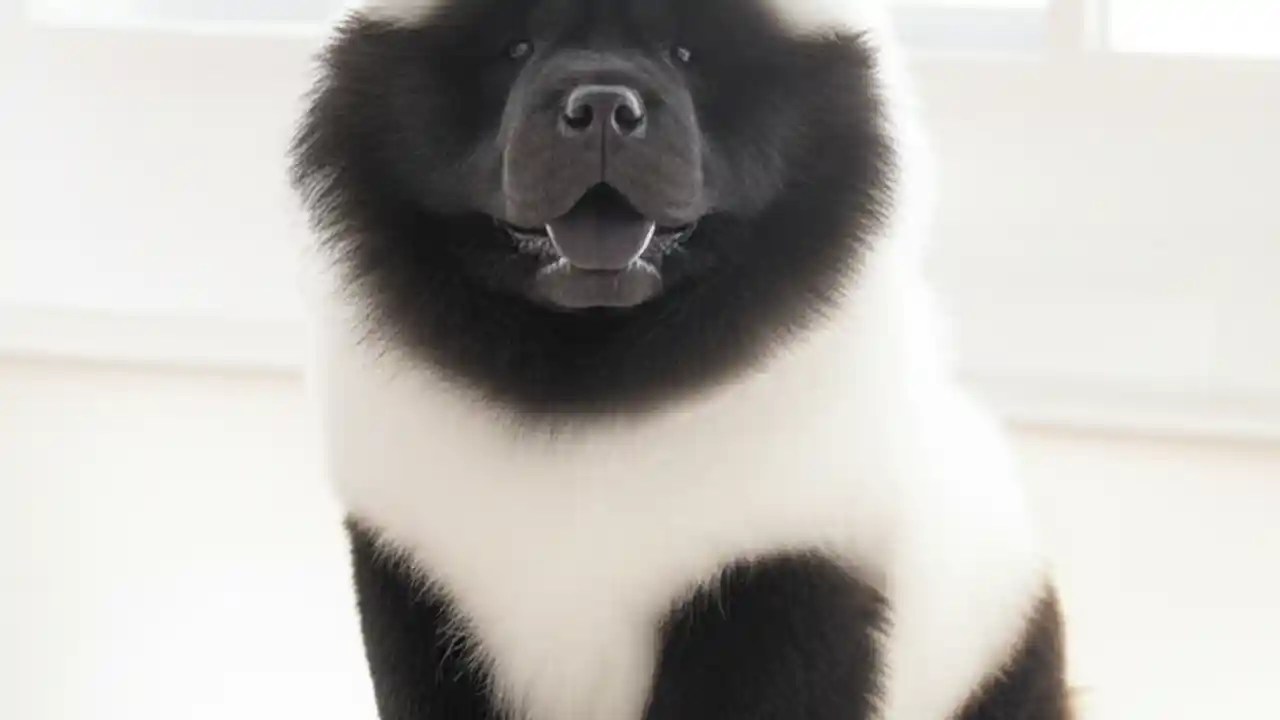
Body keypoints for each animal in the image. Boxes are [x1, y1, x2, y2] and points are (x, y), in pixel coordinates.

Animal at [291, 0, 1071, 718]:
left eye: (687, 52)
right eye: (516, 48)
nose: (603, 106)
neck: (588, 395)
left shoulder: (783, 571)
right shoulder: (412, 569)